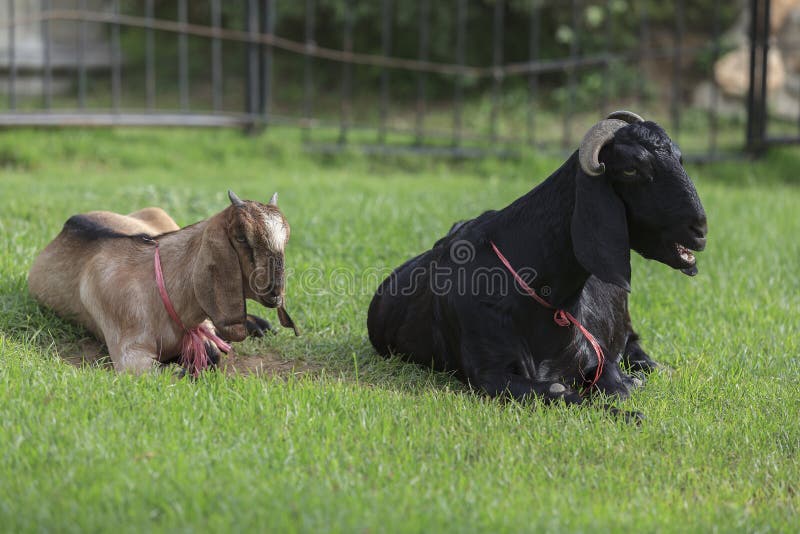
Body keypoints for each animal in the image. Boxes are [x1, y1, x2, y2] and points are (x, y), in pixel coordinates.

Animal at [28, 191, 298, 374]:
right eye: (241, 237)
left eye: (286, 239)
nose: (275, 291)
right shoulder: (128, 355)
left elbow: (212, 351)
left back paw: (260, 325)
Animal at [367, 111, 708, 407]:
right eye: (631, 169)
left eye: (679, 158)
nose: (700, 228)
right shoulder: (491, 371)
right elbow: (559, 391)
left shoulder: (595, 355)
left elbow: (613, 385)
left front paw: (629, 387)